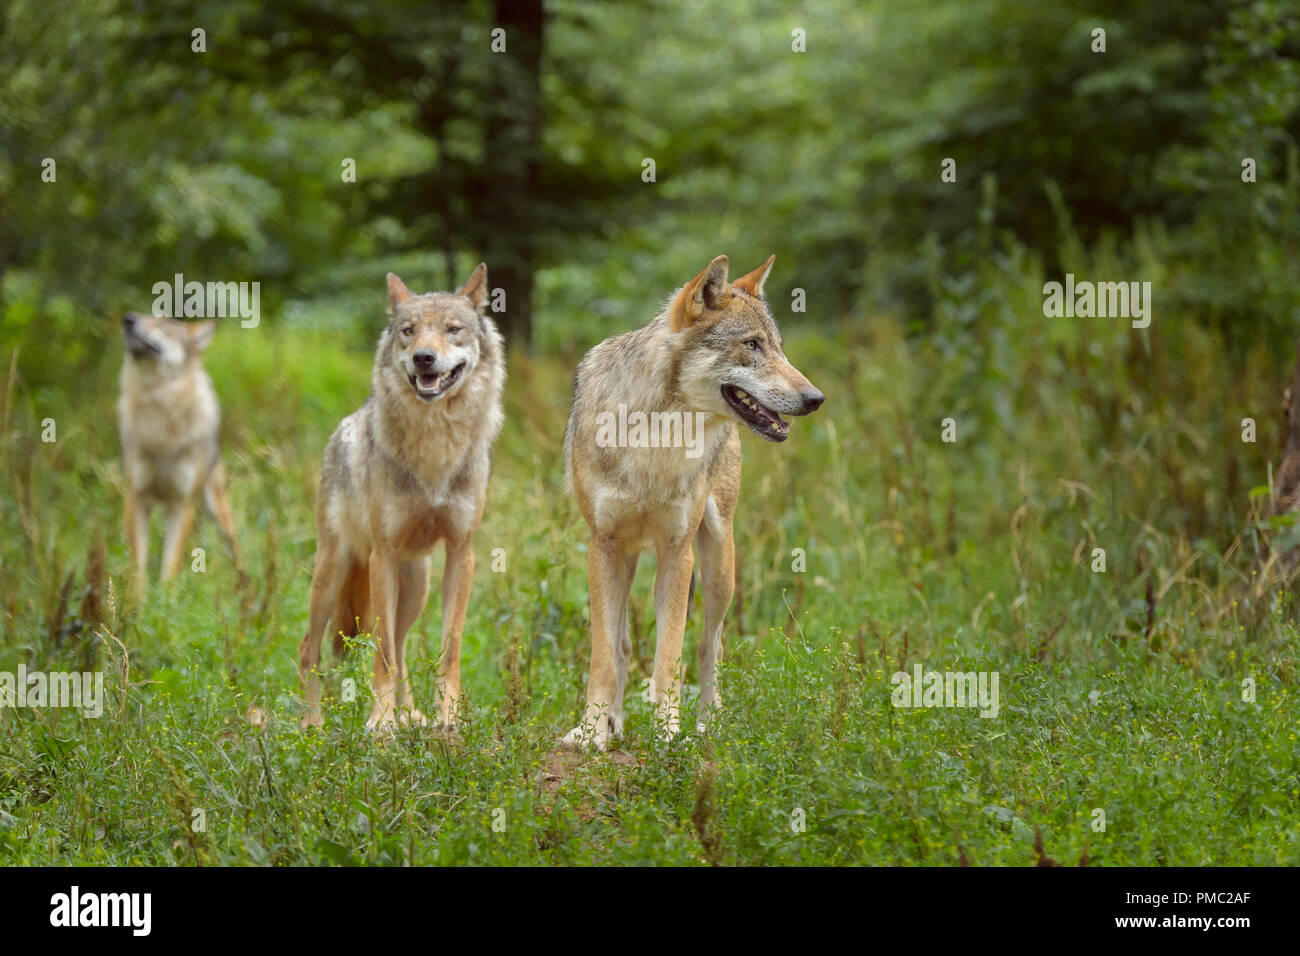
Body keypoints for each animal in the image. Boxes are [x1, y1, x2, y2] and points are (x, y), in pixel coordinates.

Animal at [118, 312, 237, 583]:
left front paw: (165, 595)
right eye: (141, 315)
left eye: (164, 325)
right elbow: (137, 569)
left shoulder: (181, 504)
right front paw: (135, 596)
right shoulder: (137, 498)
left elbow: (169, 569)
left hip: (215, 511)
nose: (128, 319)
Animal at [298, 265, 505, 733]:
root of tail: (343, 425)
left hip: (415, 586)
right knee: (310, 648)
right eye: (409, 331)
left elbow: (448, 650)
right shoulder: (384, 555)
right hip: (335, 572)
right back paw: (312, 726)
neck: (435, 447)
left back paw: (413, 716)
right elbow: (382, 655)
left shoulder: (461, 553)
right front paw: (381, 722)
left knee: (404, 645)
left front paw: (447, 717)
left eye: (452, 329)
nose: (424, 358)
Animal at [561, 254, 824, 750]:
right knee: (624, 646)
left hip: (720, 566)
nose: (815, 398)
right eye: (752, 345)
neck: (656, 435)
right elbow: (603, 656)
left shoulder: (676, 549)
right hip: (630, 560)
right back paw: (617, 723)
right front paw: (591, 731)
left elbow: (669, 656)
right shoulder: (601, 546)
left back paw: (708, 724)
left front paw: (667, 732)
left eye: (779, 347)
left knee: (709, 645)